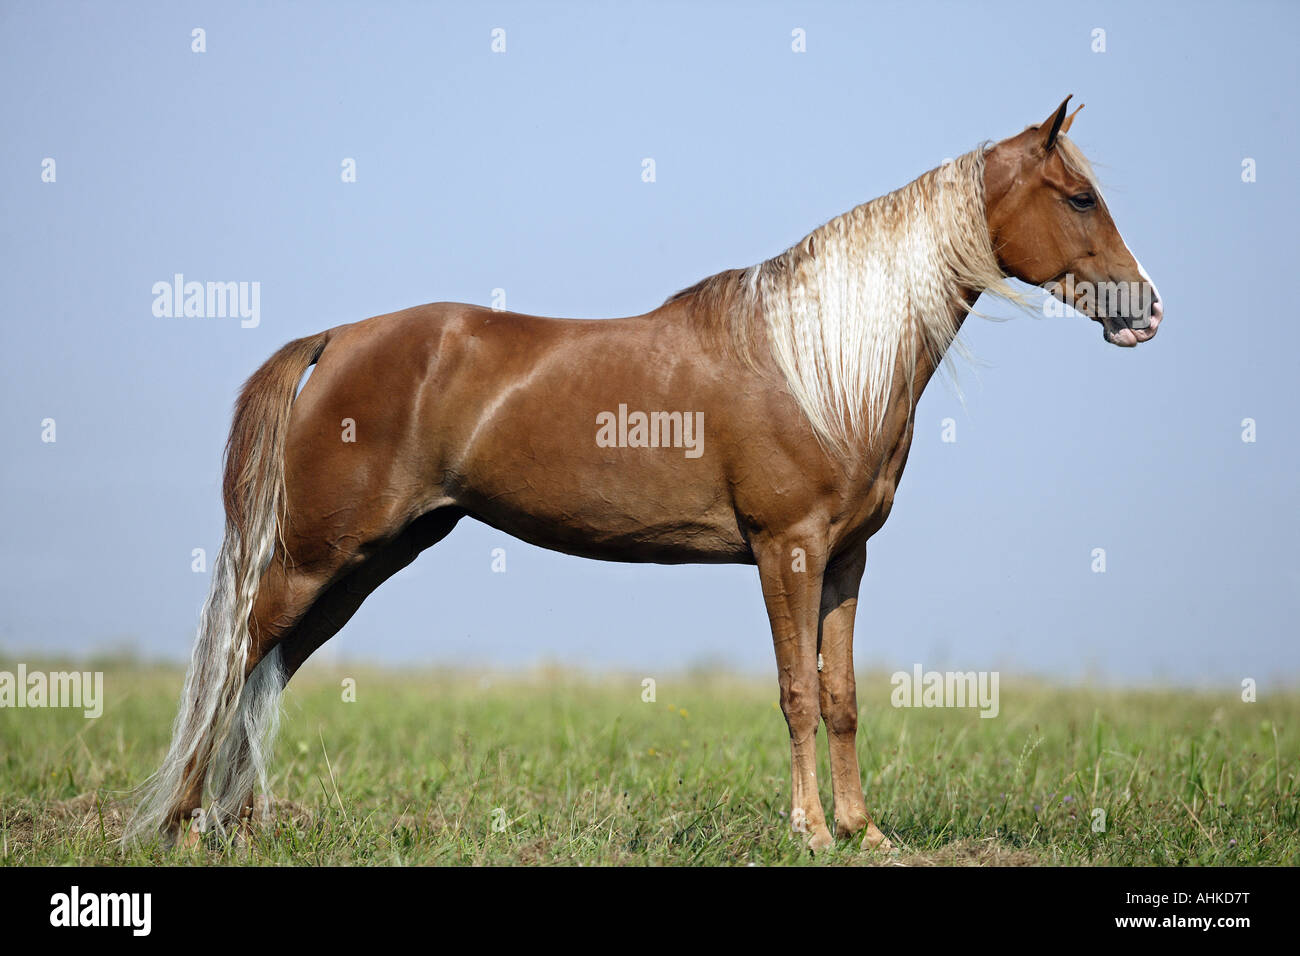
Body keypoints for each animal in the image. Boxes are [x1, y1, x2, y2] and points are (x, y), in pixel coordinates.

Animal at [127, 96, 1163, 852]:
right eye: (1078, 197)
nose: (1146, 308)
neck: (820, 360)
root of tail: (337, 338)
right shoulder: (785, 551)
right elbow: (795, 693)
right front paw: (810, 833)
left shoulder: (847, 559)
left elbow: (841, 698)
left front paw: (865, 833)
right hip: (319, 558)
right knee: (234, 662)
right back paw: (181, 824)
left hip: (365, 564)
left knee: (269, 671)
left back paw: (233, 824)